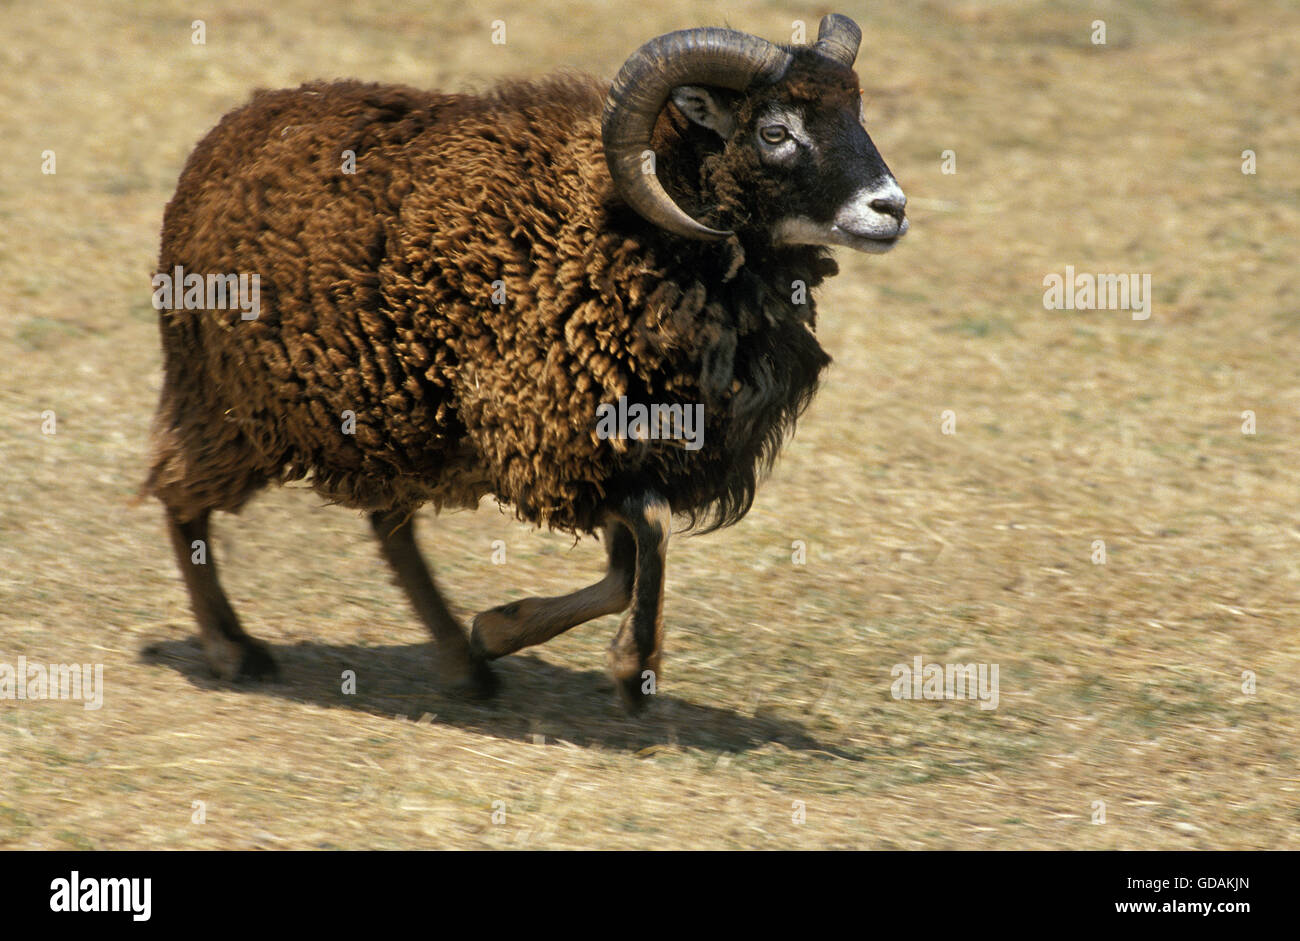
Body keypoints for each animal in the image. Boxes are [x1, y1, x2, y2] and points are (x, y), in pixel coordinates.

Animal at [144, 13, 908, 711]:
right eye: (774, 131)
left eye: (856, 113)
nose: (892, 208)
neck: (634, 229)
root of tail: (227, 135)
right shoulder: (550, 436)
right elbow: (648, 541)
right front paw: (627, 669)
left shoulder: (623, 448)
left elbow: (629, 563)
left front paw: (499, 630)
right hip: (230, 401)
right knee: (180, 496)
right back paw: (232, 649)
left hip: (393, 413)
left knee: (389, 529)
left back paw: (461, 663)